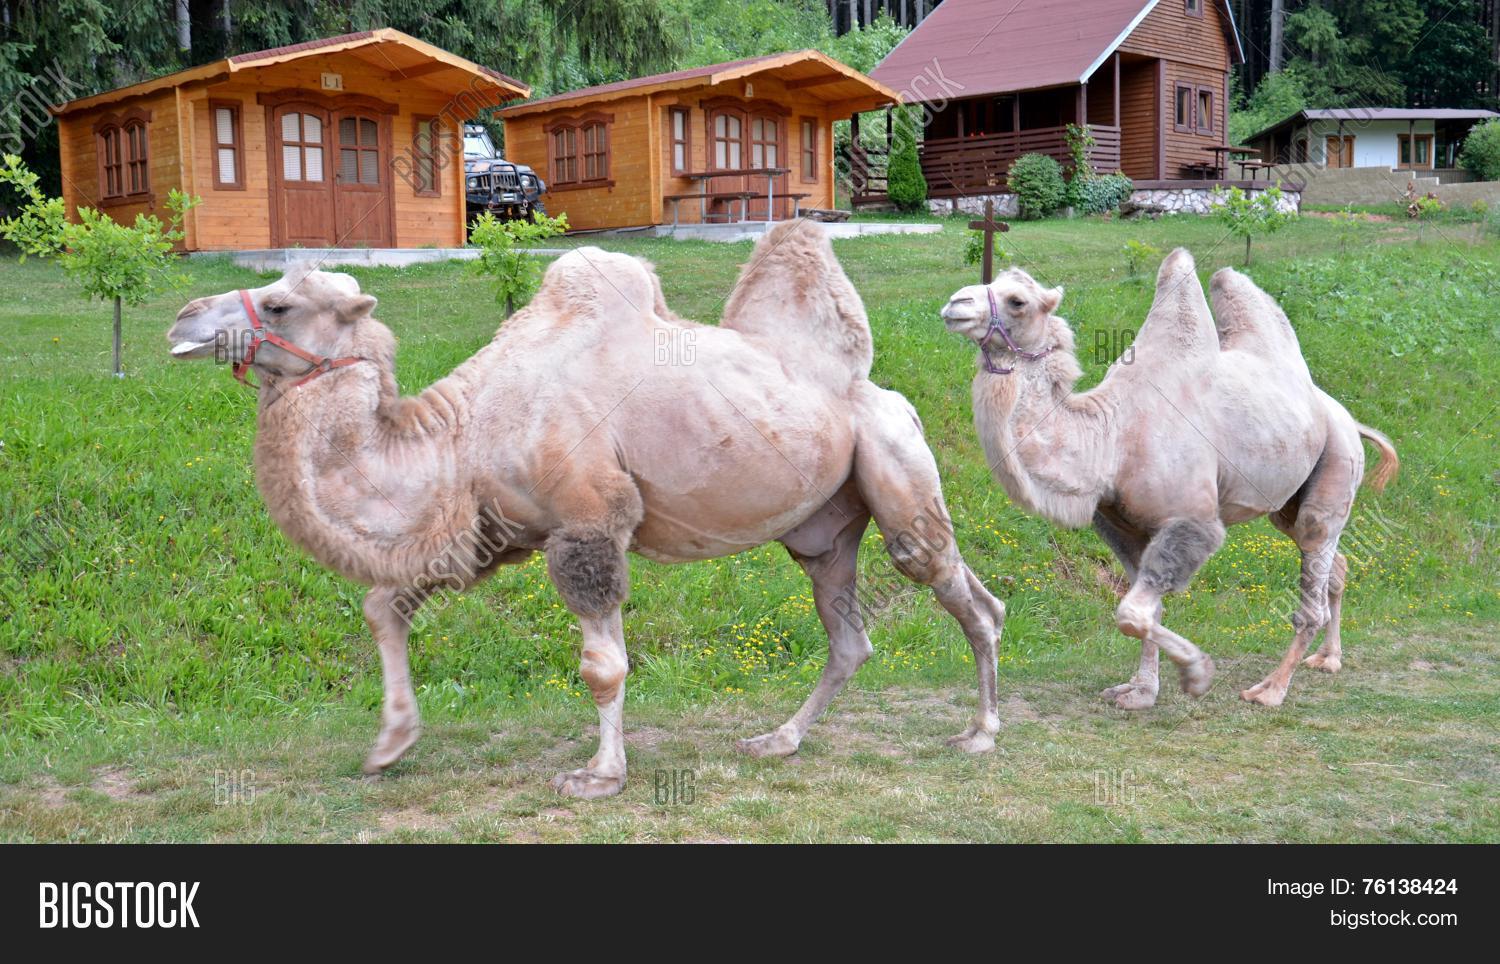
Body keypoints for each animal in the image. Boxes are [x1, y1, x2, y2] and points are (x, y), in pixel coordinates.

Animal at [165, 222, 1006, 799]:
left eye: (279, 303)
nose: (181, 318)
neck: (463, 431)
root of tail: (886, 392)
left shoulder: (589, 520)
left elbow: (601, 666)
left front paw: (599, 774)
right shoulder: (491, 528)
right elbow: (385, 604)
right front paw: (389, 744)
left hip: (897, 469)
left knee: (963, 595)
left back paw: (981, 732)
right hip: (824, 527)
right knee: (853, 634)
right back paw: (777, 740)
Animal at [940, 250, 1398, 710]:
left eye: (1017, 300)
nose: (955, 304)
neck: (1111, 440)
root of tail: (1349, 419)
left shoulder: (1193, 521)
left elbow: (1131, 612)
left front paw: (1196, 672)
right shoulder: (1121, 524)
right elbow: (1146, 609)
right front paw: (1140, 691)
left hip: (1336, 466)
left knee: (1313, 579)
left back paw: (1271, 689)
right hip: (1287, 503)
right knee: (1332, 561)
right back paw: (1328, 658)